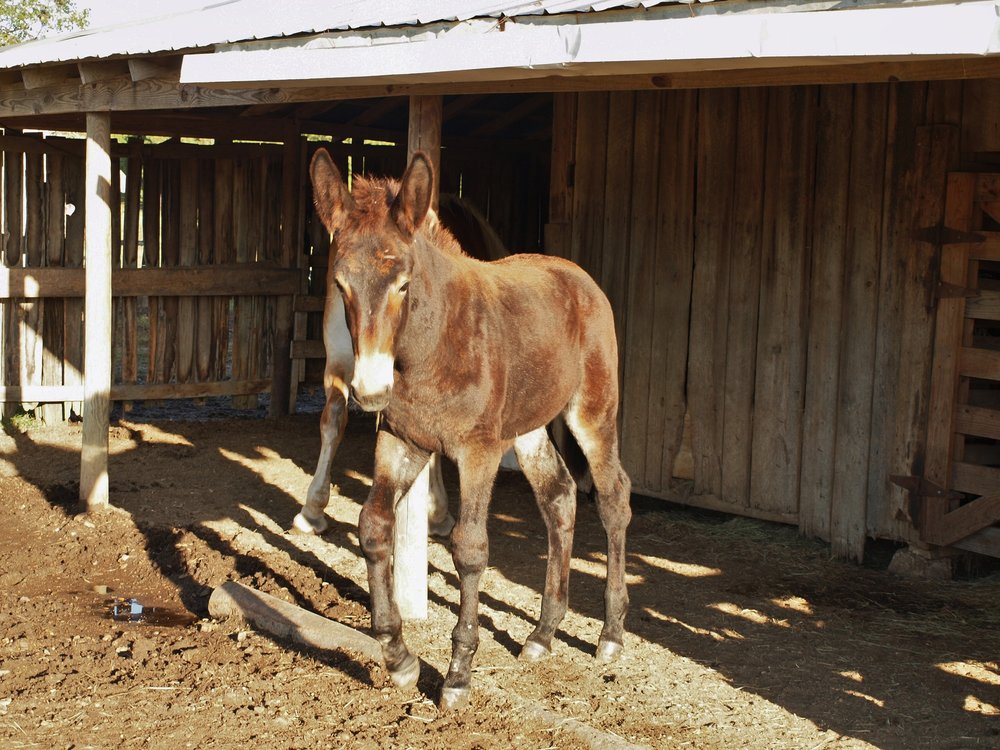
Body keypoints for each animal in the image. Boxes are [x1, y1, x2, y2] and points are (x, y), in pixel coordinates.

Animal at [308, 147, 632, 711]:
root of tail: (573, 271)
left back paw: (610, 634)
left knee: (613, 495)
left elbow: (471, 548)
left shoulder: (478, 451)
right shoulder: (401, 442)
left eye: (403, 284)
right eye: (339, 285)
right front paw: (398, 657)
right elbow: (372, 527)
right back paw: (543, 634)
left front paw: (458, 674)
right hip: (526, 426)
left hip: (591, 412)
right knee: (560, 496)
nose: (368, 390)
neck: (431, 345)